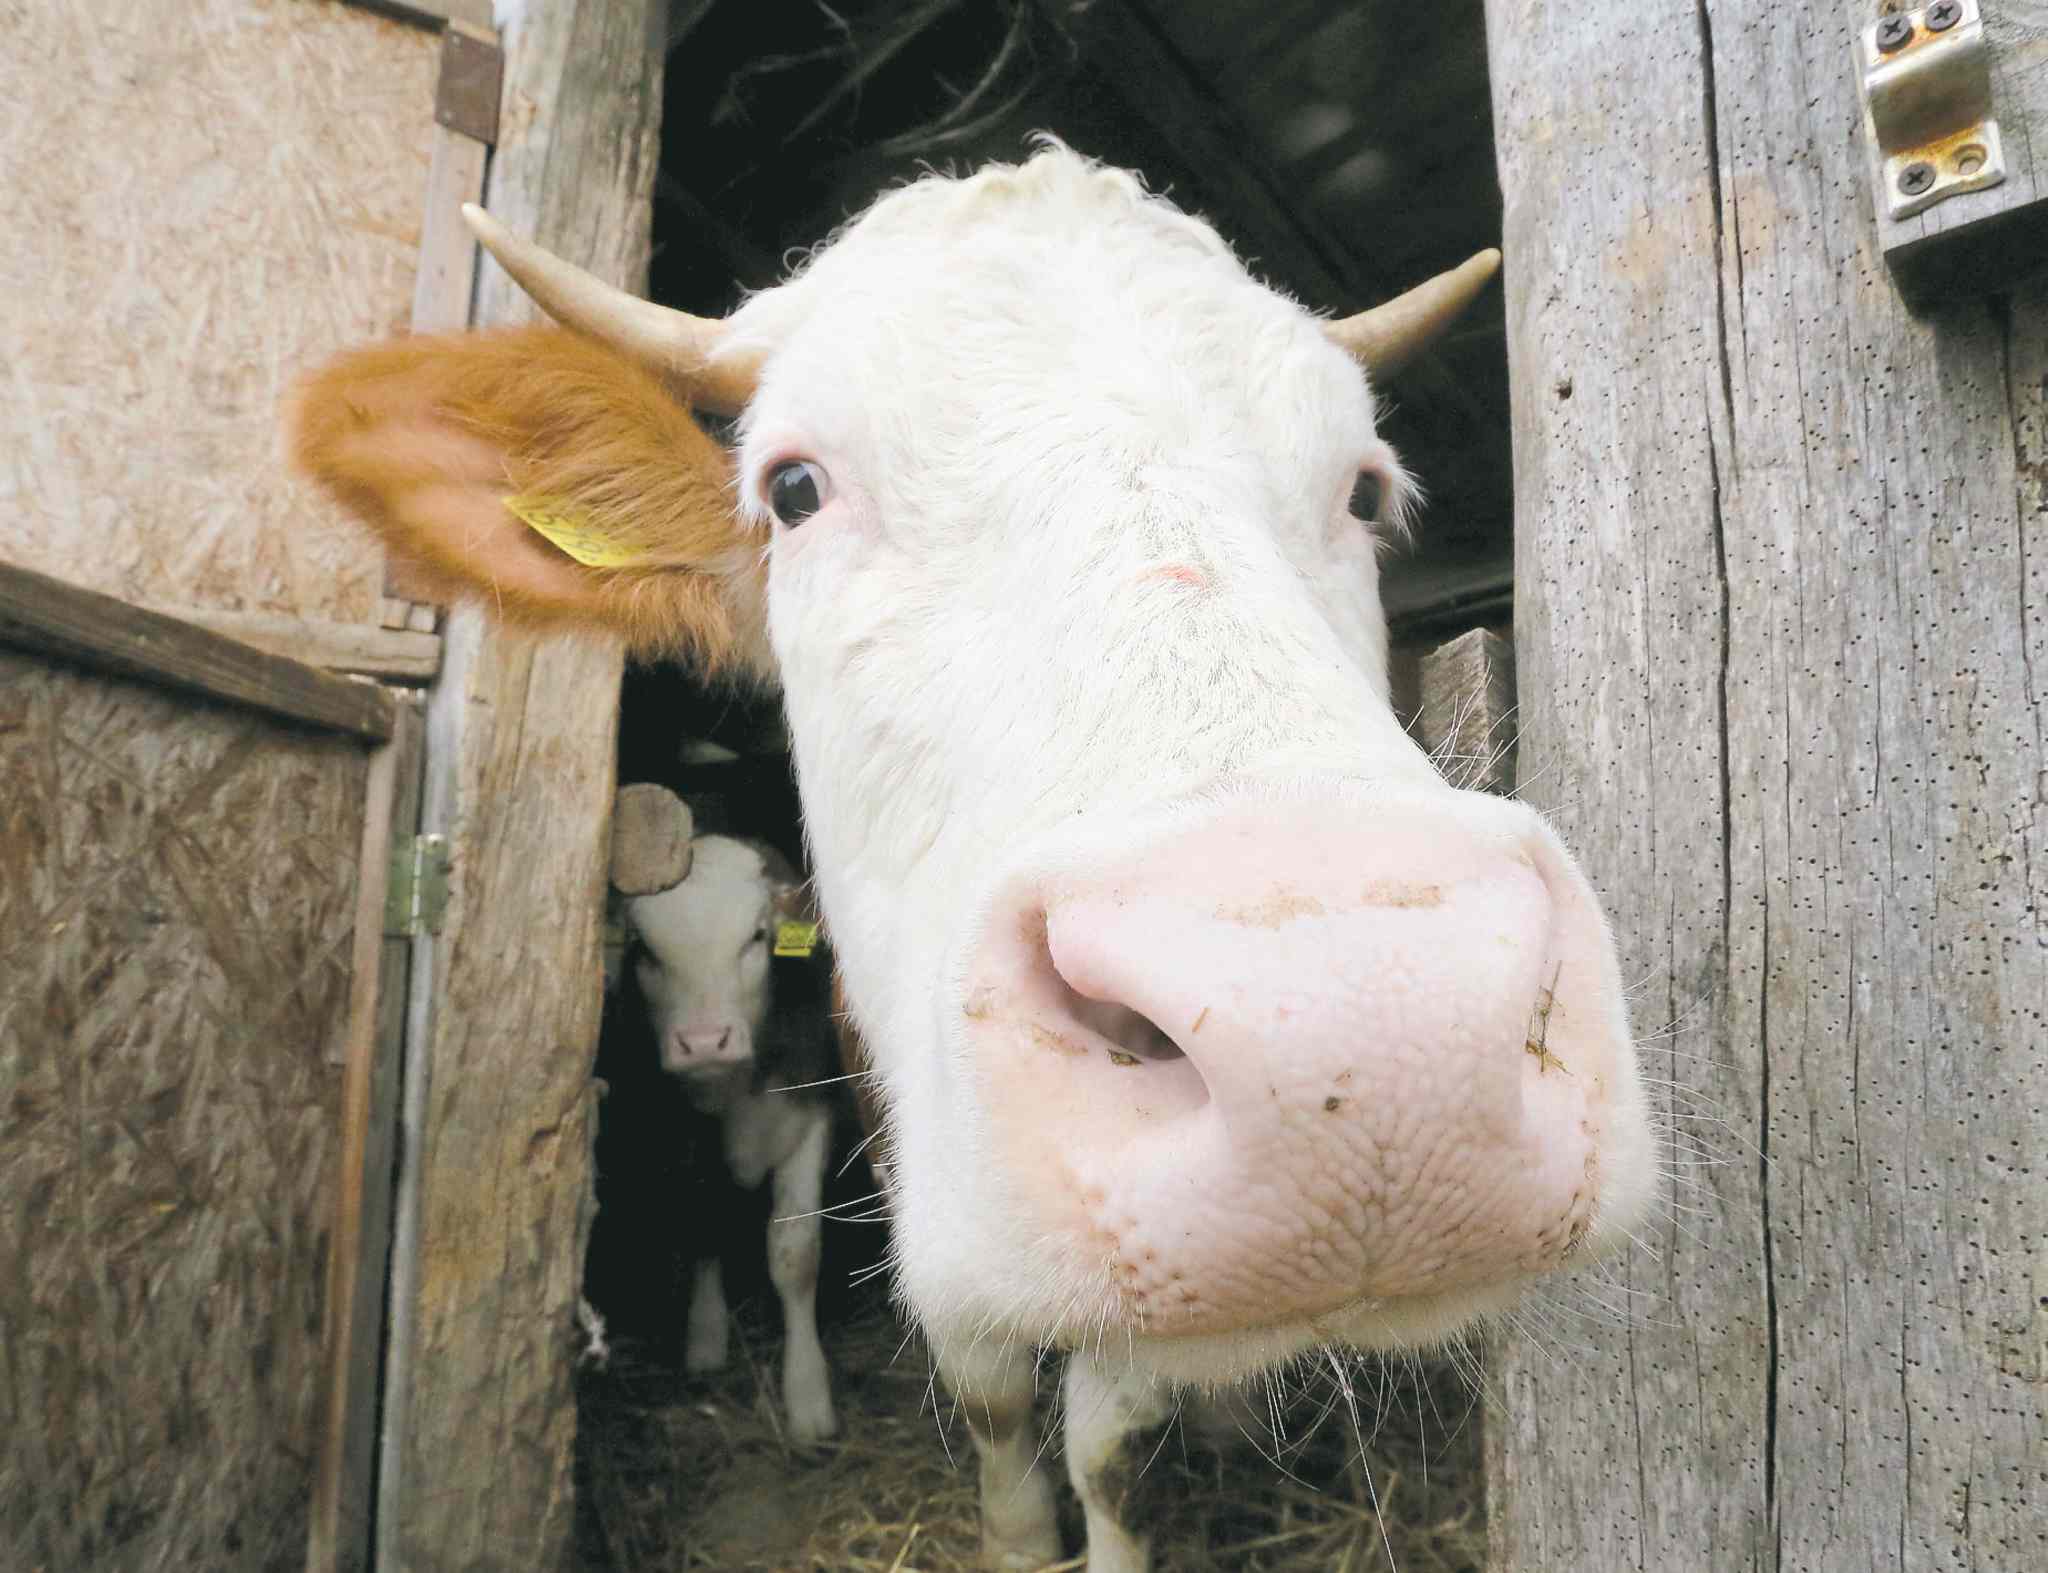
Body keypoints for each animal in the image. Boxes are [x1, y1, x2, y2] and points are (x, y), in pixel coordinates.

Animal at [290, 145, 1656, 1572]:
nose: (1367, 1029)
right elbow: (991, 1387)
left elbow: (1108, 1437)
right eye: (792, 488)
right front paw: (1013, 1531)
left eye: (1364, 488)